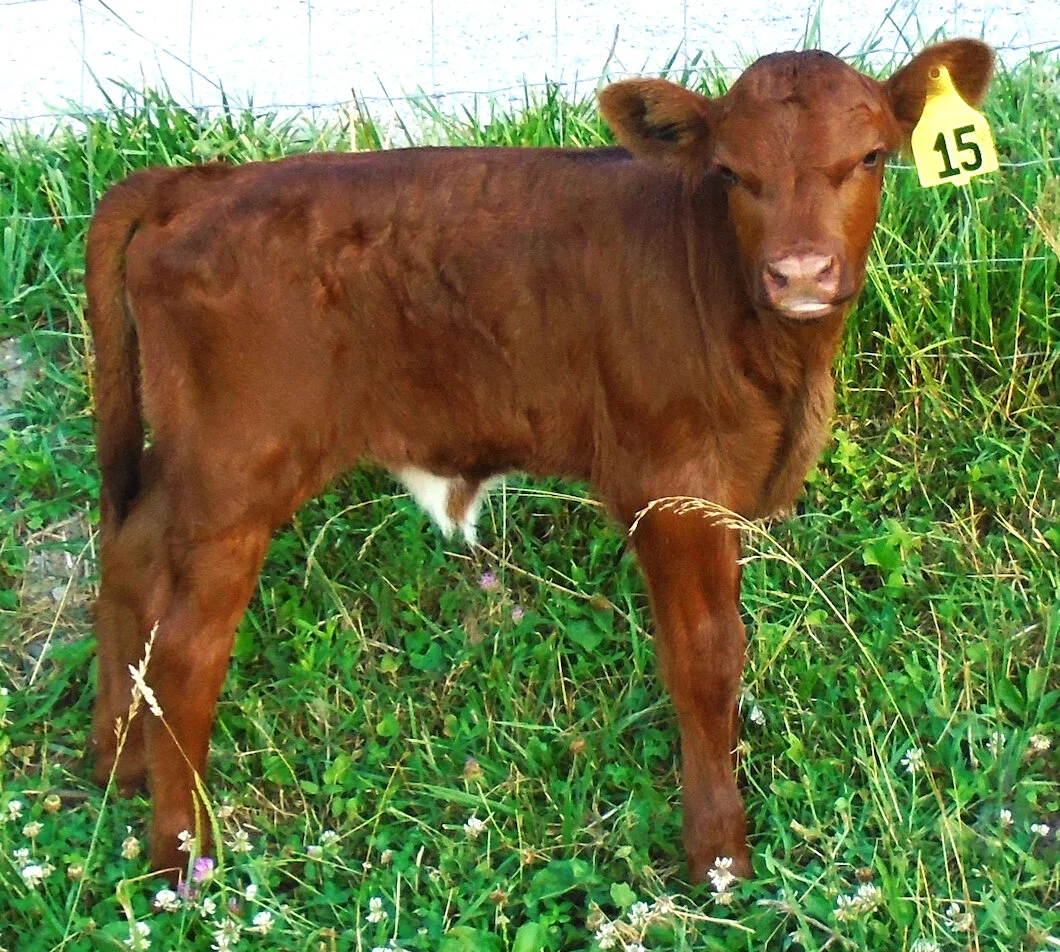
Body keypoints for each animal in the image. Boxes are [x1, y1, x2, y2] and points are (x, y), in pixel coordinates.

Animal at [85, 40, 994, 882]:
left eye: (870, 155)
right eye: (732, 172)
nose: (800, 272)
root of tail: (197, 183)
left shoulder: (720, 492)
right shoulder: (671, 488)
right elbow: (706, 657)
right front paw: (718, 859)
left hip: (196, 460)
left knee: (128, 552)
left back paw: (117, 764)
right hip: (236, 470)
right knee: (184, 653)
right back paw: (181, 861)